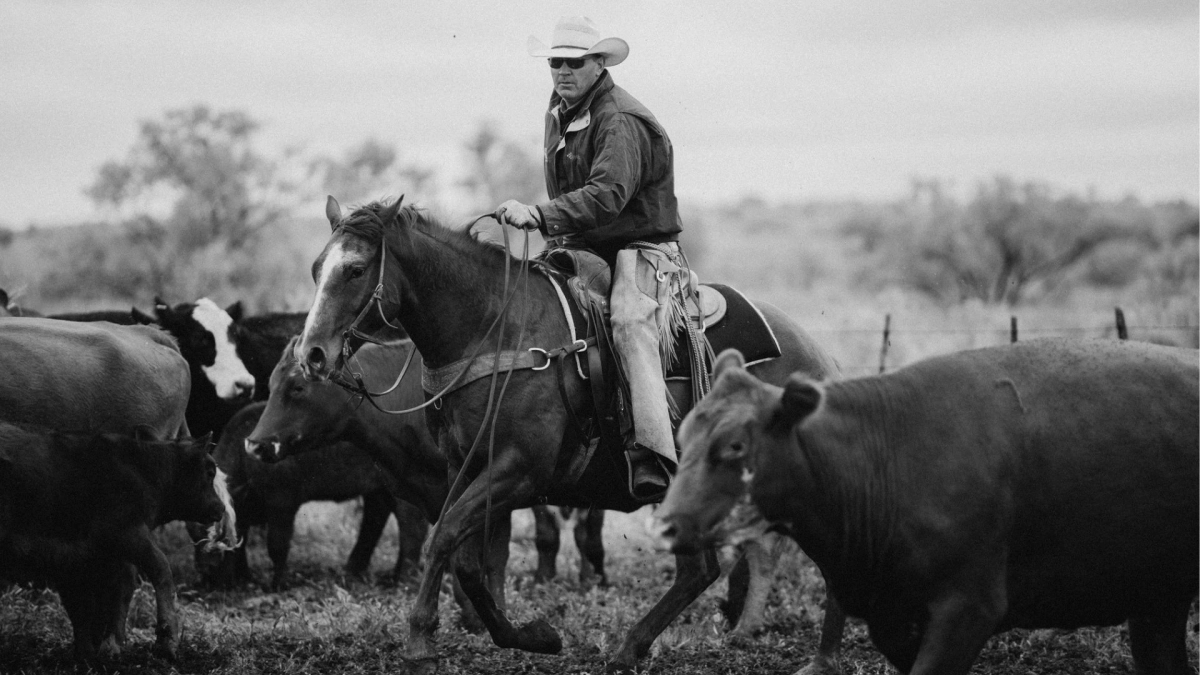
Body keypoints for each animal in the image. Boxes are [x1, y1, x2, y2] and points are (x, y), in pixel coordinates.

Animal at [293, 195, 846, 674]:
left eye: (355, 269)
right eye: (317, 268)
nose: (312, 354)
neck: (494, 329)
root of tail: (819, 359)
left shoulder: (518, 470)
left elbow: (446, 537)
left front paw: (420, 640)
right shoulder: (467, 467)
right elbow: (468, 560)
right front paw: (533, 636)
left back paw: (818, 657)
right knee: (700, 569)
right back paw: (631, 648)